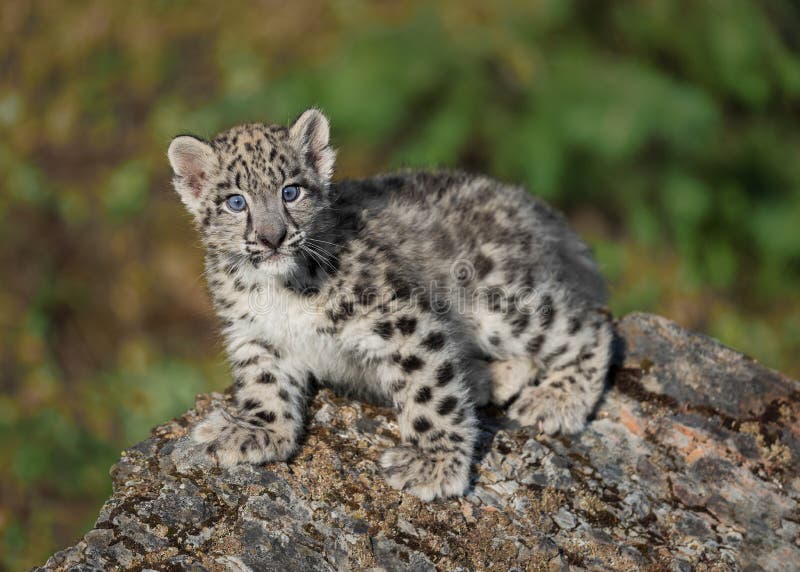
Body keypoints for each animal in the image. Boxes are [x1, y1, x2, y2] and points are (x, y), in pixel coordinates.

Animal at [167, 108, 613, 500]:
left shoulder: (401, 319)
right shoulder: (254, 336)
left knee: (589, 325)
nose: (272, 237)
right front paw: (255, 431)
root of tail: (521, 198)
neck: (275, 290)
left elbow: (430, 393)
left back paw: (557, 399)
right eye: (236, 202)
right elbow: (264, 386)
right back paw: (485, 379)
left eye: (290, 192)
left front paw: (434, 465)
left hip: (498, 301)